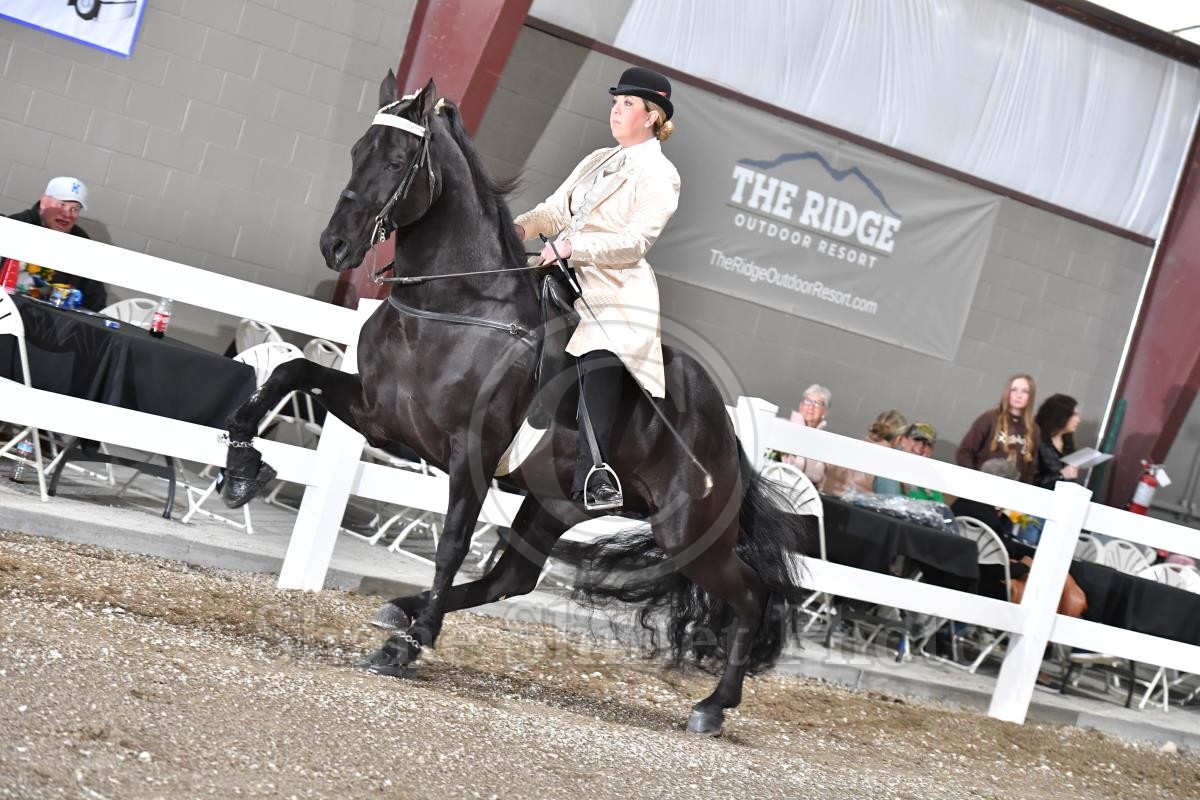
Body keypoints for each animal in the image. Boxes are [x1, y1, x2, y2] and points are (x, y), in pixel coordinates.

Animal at [218, 70, 808, 735]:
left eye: (395, 160)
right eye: (355, 151)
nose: (335, 246)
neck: (454, 305)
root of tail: (725, 429)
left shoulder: (468, 454)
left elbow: (451, 543)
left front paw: (406, 649)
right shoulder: (380, 416)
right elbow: (288, 372)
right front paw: (240, 469)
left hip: (688, 532)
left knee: (751, 595)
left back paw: (714, 705)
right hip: (554, 504)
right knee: (512, 578)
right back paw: (402, 607)